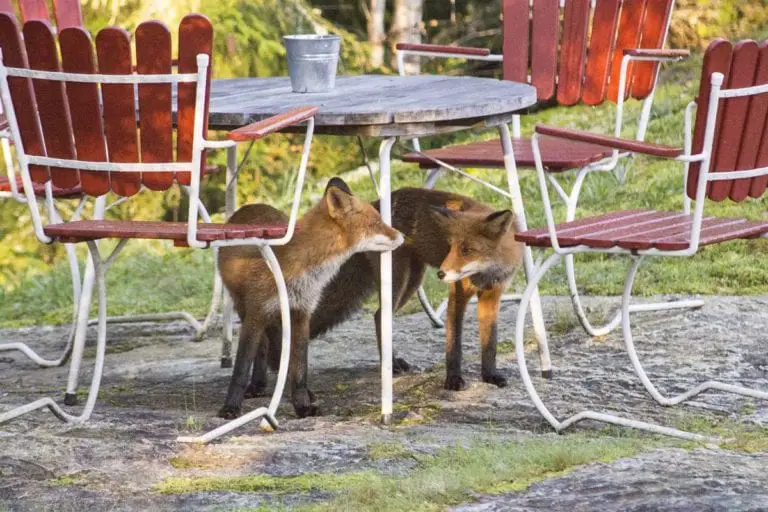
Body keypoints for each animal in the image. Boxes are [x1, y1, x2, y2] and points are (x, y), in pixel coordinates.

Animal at [217, 177, 404, 419]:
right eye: (376, 223)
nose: (402, 236)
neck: (300, 266)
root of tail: (249, 206)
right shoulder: (257, 312)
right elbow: (240, 368)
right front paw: (230, 407)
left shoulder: (301, 313)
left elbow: (299, 368)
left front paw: (302, 405)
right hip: (243, 306)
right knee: (263, 348)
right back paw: (257, 385)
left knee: (275, 349)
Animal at [252, 187, 523, 395]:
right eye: (451, 247)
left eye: (467, 250)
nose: (441, 274)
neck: (486, 274)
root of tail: (375, 205)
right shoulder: (457, 296)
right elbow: (453, 346)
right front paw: (453, 380)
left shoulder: (492, 297)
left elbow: (490, 343)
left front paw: (490, 375)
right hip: (399, 281)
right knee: (379, 316)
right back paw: (389, 366)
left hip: (412, 282)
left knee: (379, 317)